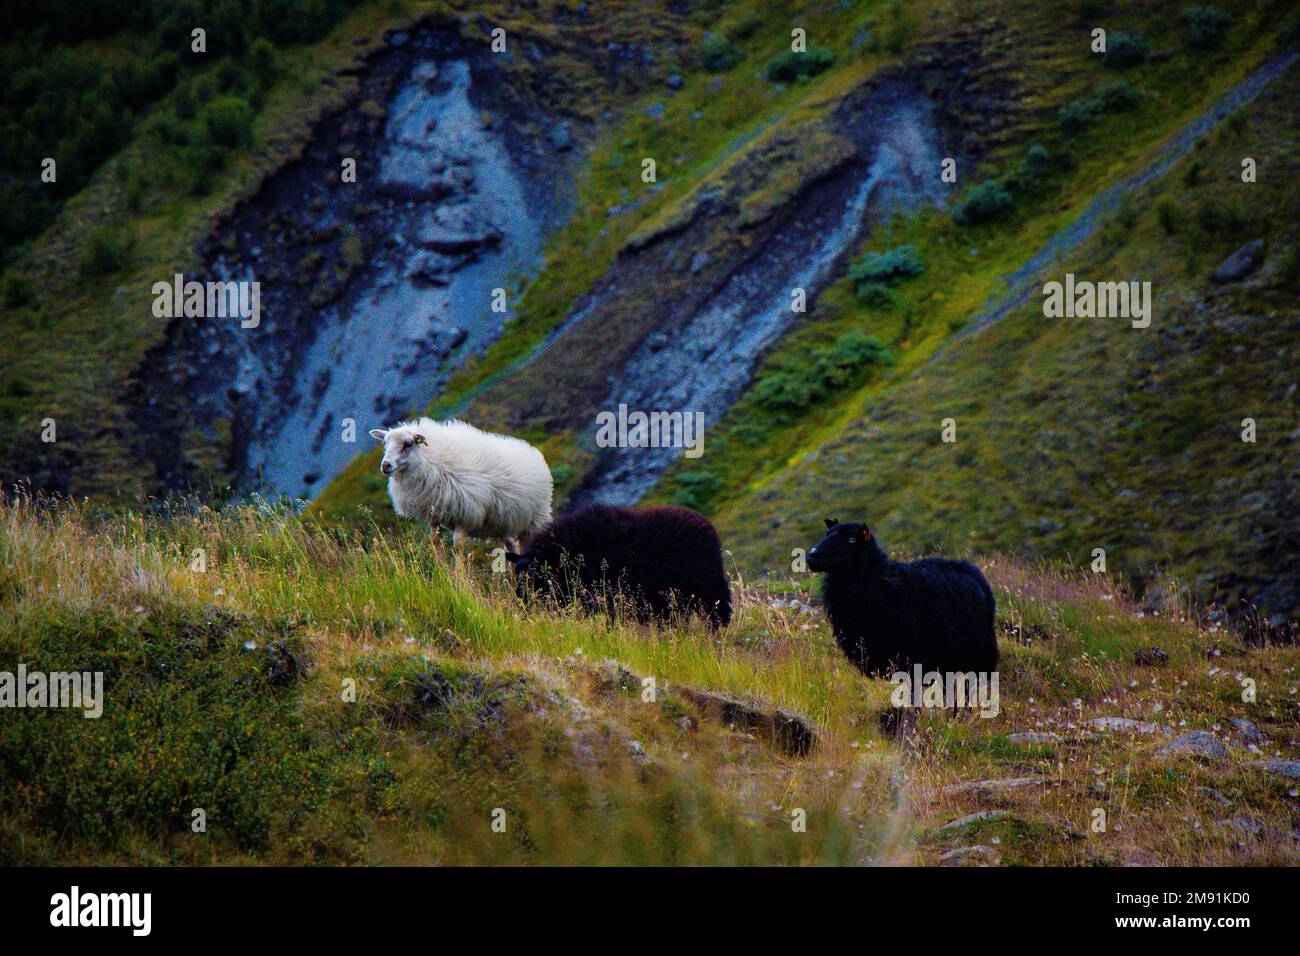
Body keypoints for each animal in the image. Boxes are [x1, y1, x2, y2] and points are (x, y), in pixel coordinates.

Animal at [368, 418, 552, 552]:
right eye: (384, 444)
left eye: (408, 444)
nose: (386, 465)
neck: (429, 461)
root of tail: (533, 451)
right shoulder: (433, 516)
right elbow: (436, 544)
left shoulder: (465, 514)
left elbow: (458, 549)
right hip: (506, 523)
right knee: (512, 546)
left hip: (533, 522)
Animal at [507, 504, 732, 628]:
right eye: (516, 574)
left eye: (535, 576)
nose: (520, 604)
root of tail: (708, 526)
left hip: (708, 591)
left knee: (716, 618)